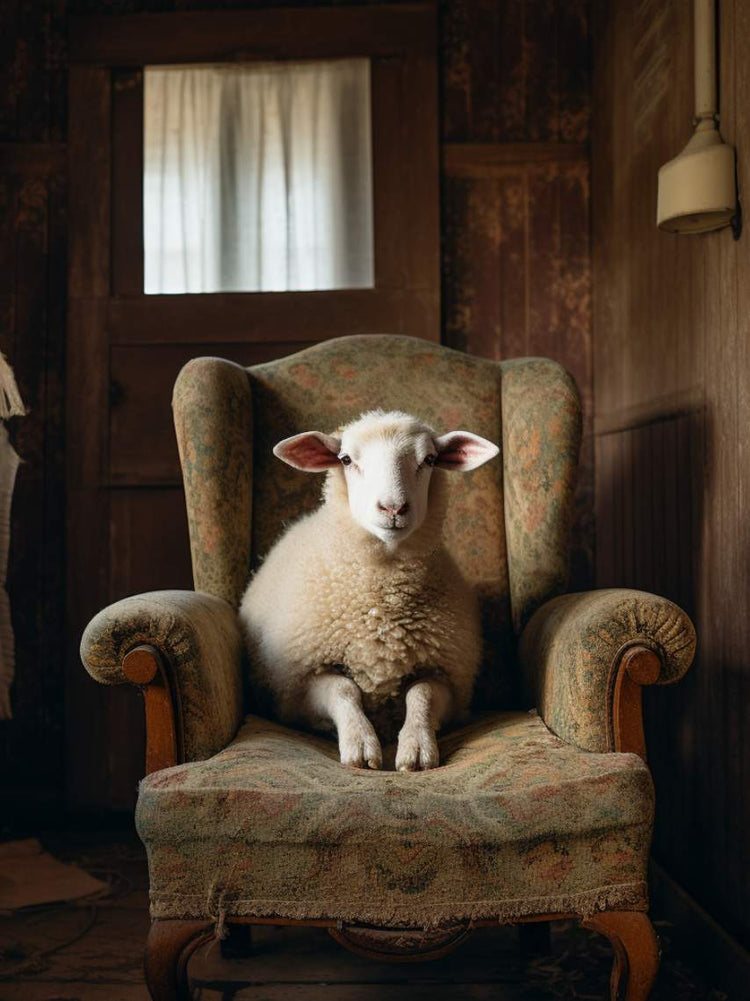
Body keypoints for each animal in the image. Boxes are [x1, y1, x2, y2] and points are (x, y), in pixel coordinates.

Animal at [239, 409, 499, 771]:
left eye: (430, 459)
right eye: (346, 459)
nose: (393, 508)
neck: (382, 607)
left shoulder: (447, 677)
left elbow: (421, 694)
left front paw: (416, 747)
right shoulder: (298, 686)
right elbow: (343, 689)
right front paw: (360, 743)